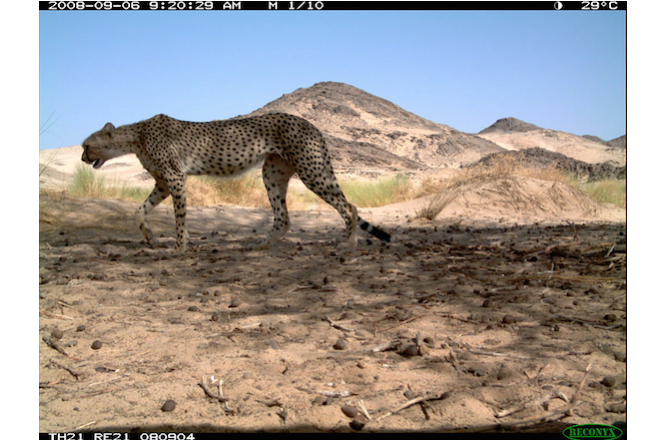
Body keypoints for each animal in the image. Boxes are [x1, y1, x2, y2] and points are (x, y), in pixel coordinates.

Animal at [81, 113, 391, 252]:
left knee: (349, 207)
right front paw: (150, 236)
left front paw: (180, 246)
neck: (136, 136)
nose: (83, 158)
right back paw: (261, 245)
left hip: (311, 170)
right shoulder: (163, 184)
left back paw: (349, 242)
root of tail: (308, 122)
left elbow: (179, 217)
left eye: (86, 145)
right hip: (273, 173)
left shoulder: (175, 178)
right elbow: (139, 211)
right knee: (283, 217)